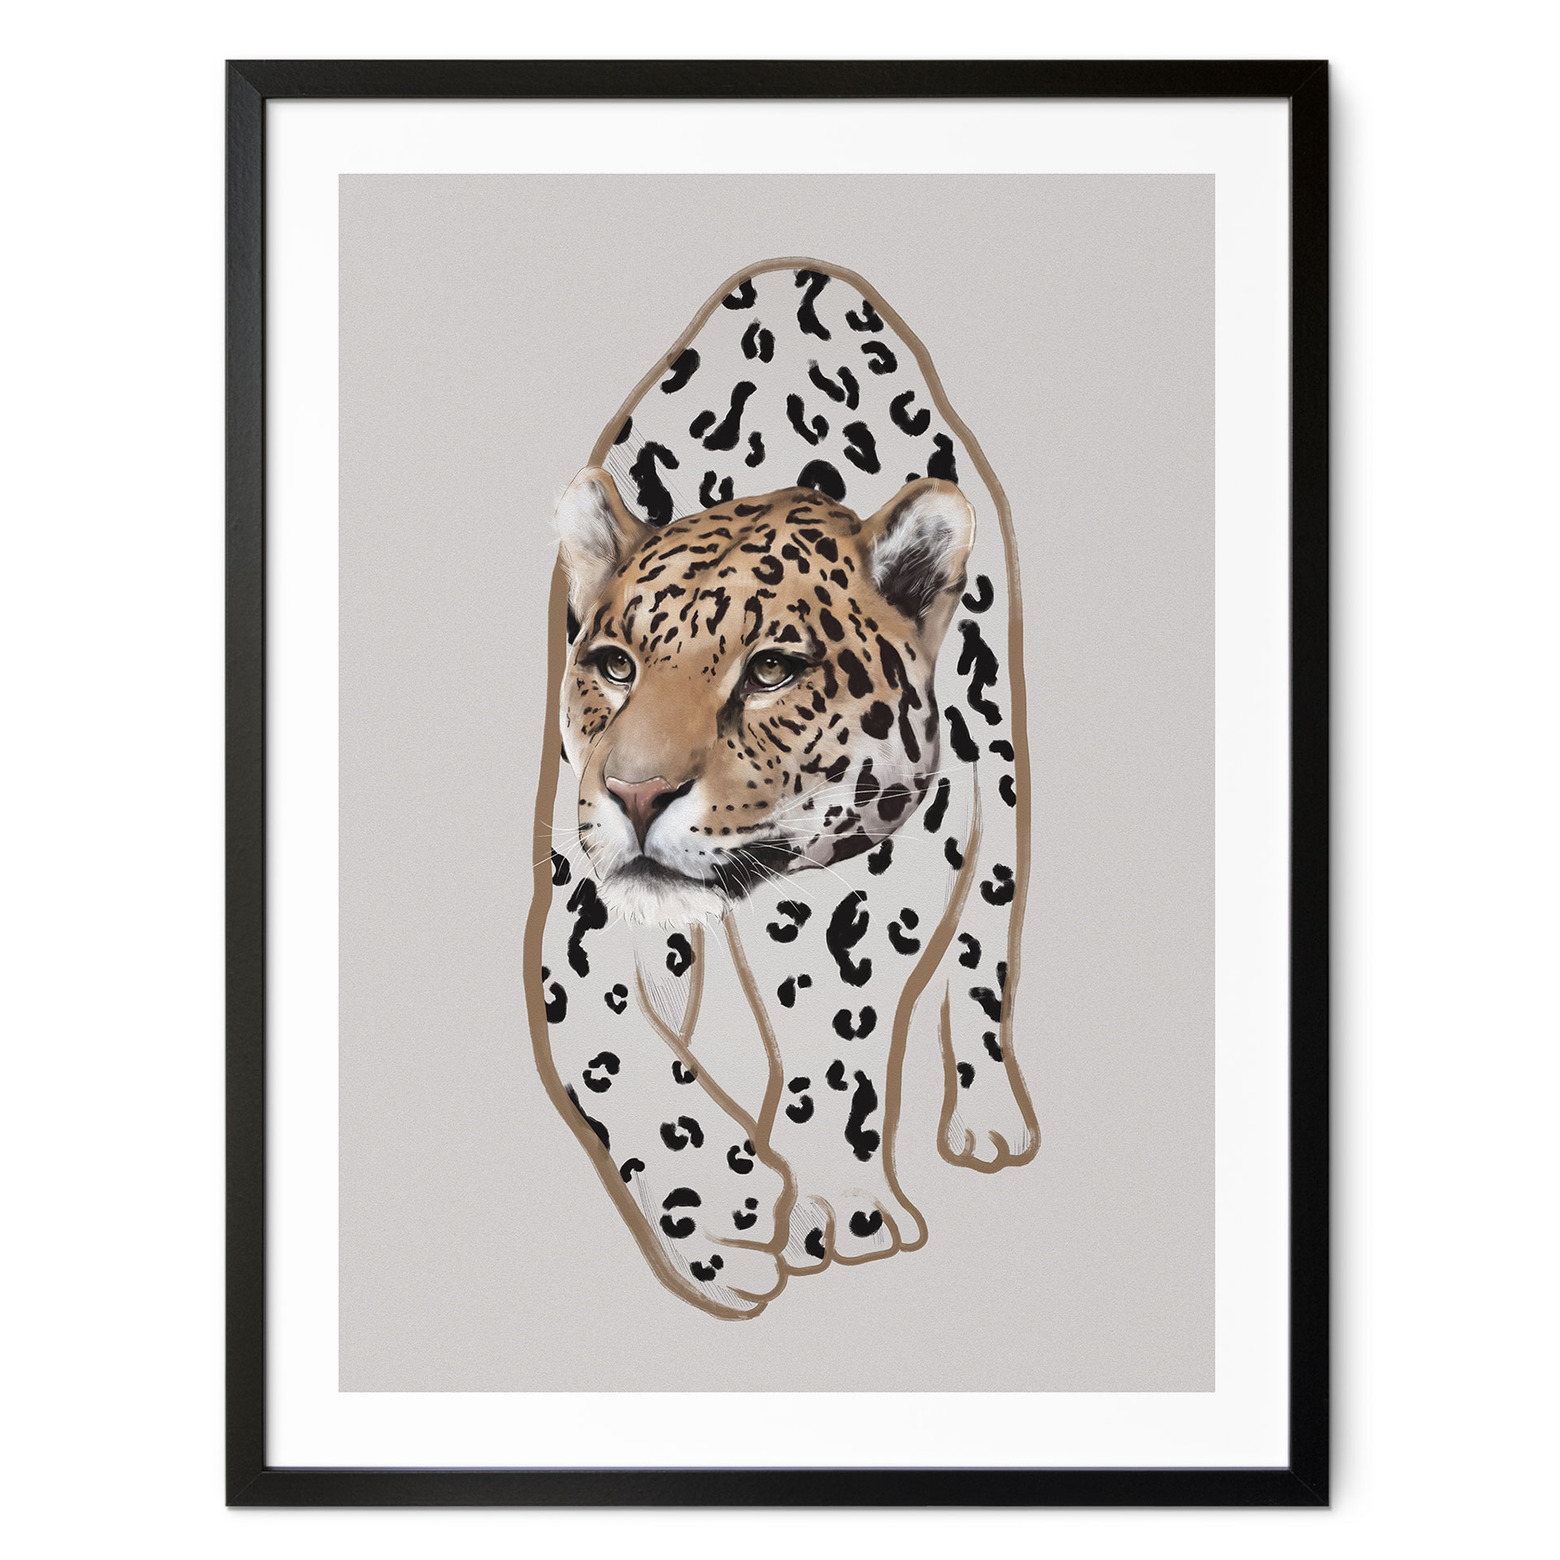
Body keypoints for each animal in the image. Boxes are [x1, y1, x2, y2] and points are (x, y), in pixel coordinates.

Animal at [525, 259, 1038, 1319]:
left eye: (771, 670)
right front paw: (721, 1207)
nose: (636, 793)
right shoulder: (581, 899)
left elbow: (838, 1043)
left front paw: (837, 1206)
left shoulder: (879, 878)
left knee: (981, 957)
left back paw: (988, 1117)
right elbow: (610, 1047)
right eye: (613, 665)